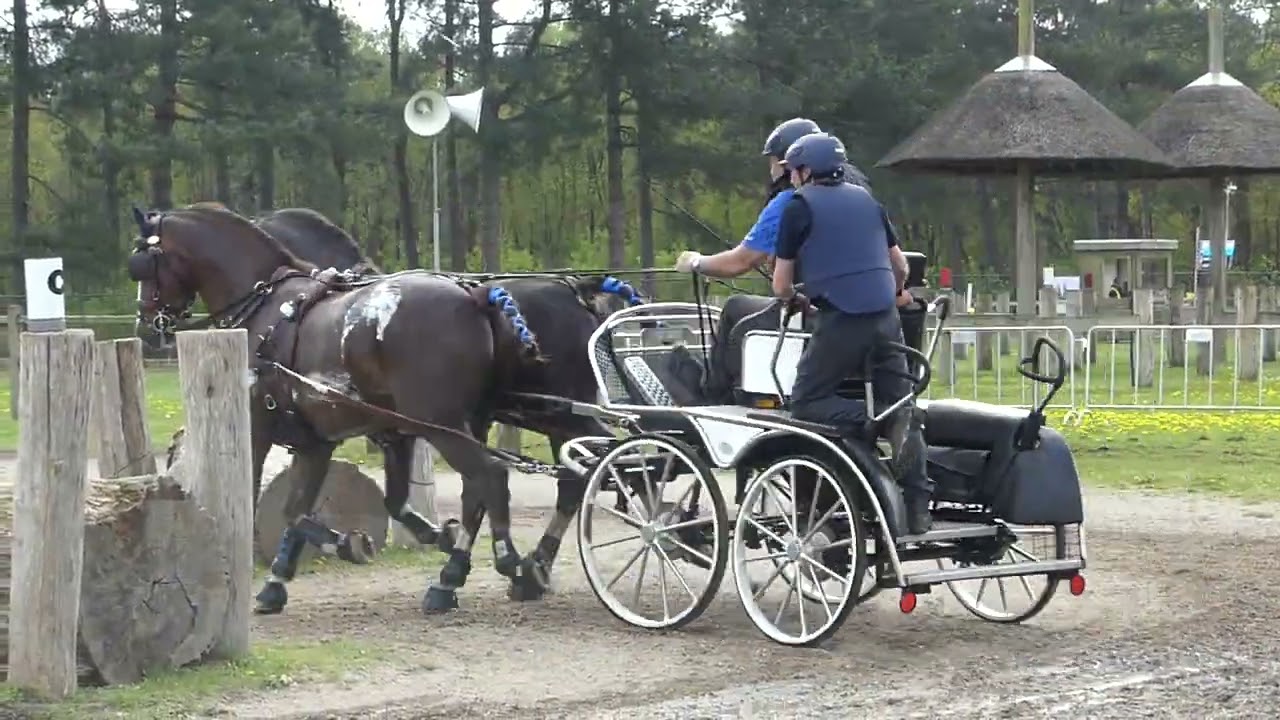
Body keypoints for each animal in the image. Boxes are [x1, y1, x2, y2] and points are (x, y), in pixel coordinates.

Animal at [126, 202, 549, 615]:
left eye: (143, 263)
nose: (146, 325)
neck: (269, 309)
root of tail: (473, 297)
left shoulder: (257, 429)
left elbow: (269, 505)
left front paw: (339, 546)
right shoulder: (319, 441)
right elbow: (304, 509)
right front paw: (279, 582)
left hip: (440, 423)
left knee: (491, 475)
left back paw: (508, 563)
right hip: (466, 423)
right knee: (475, 490)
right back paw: (456, 577)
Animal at [241, 206, 646, 600]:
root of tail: (575, 289)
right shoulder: (378, 434)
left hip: (534, 415)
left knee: (581, 472)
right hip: (551, 414)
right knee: (593, 470)